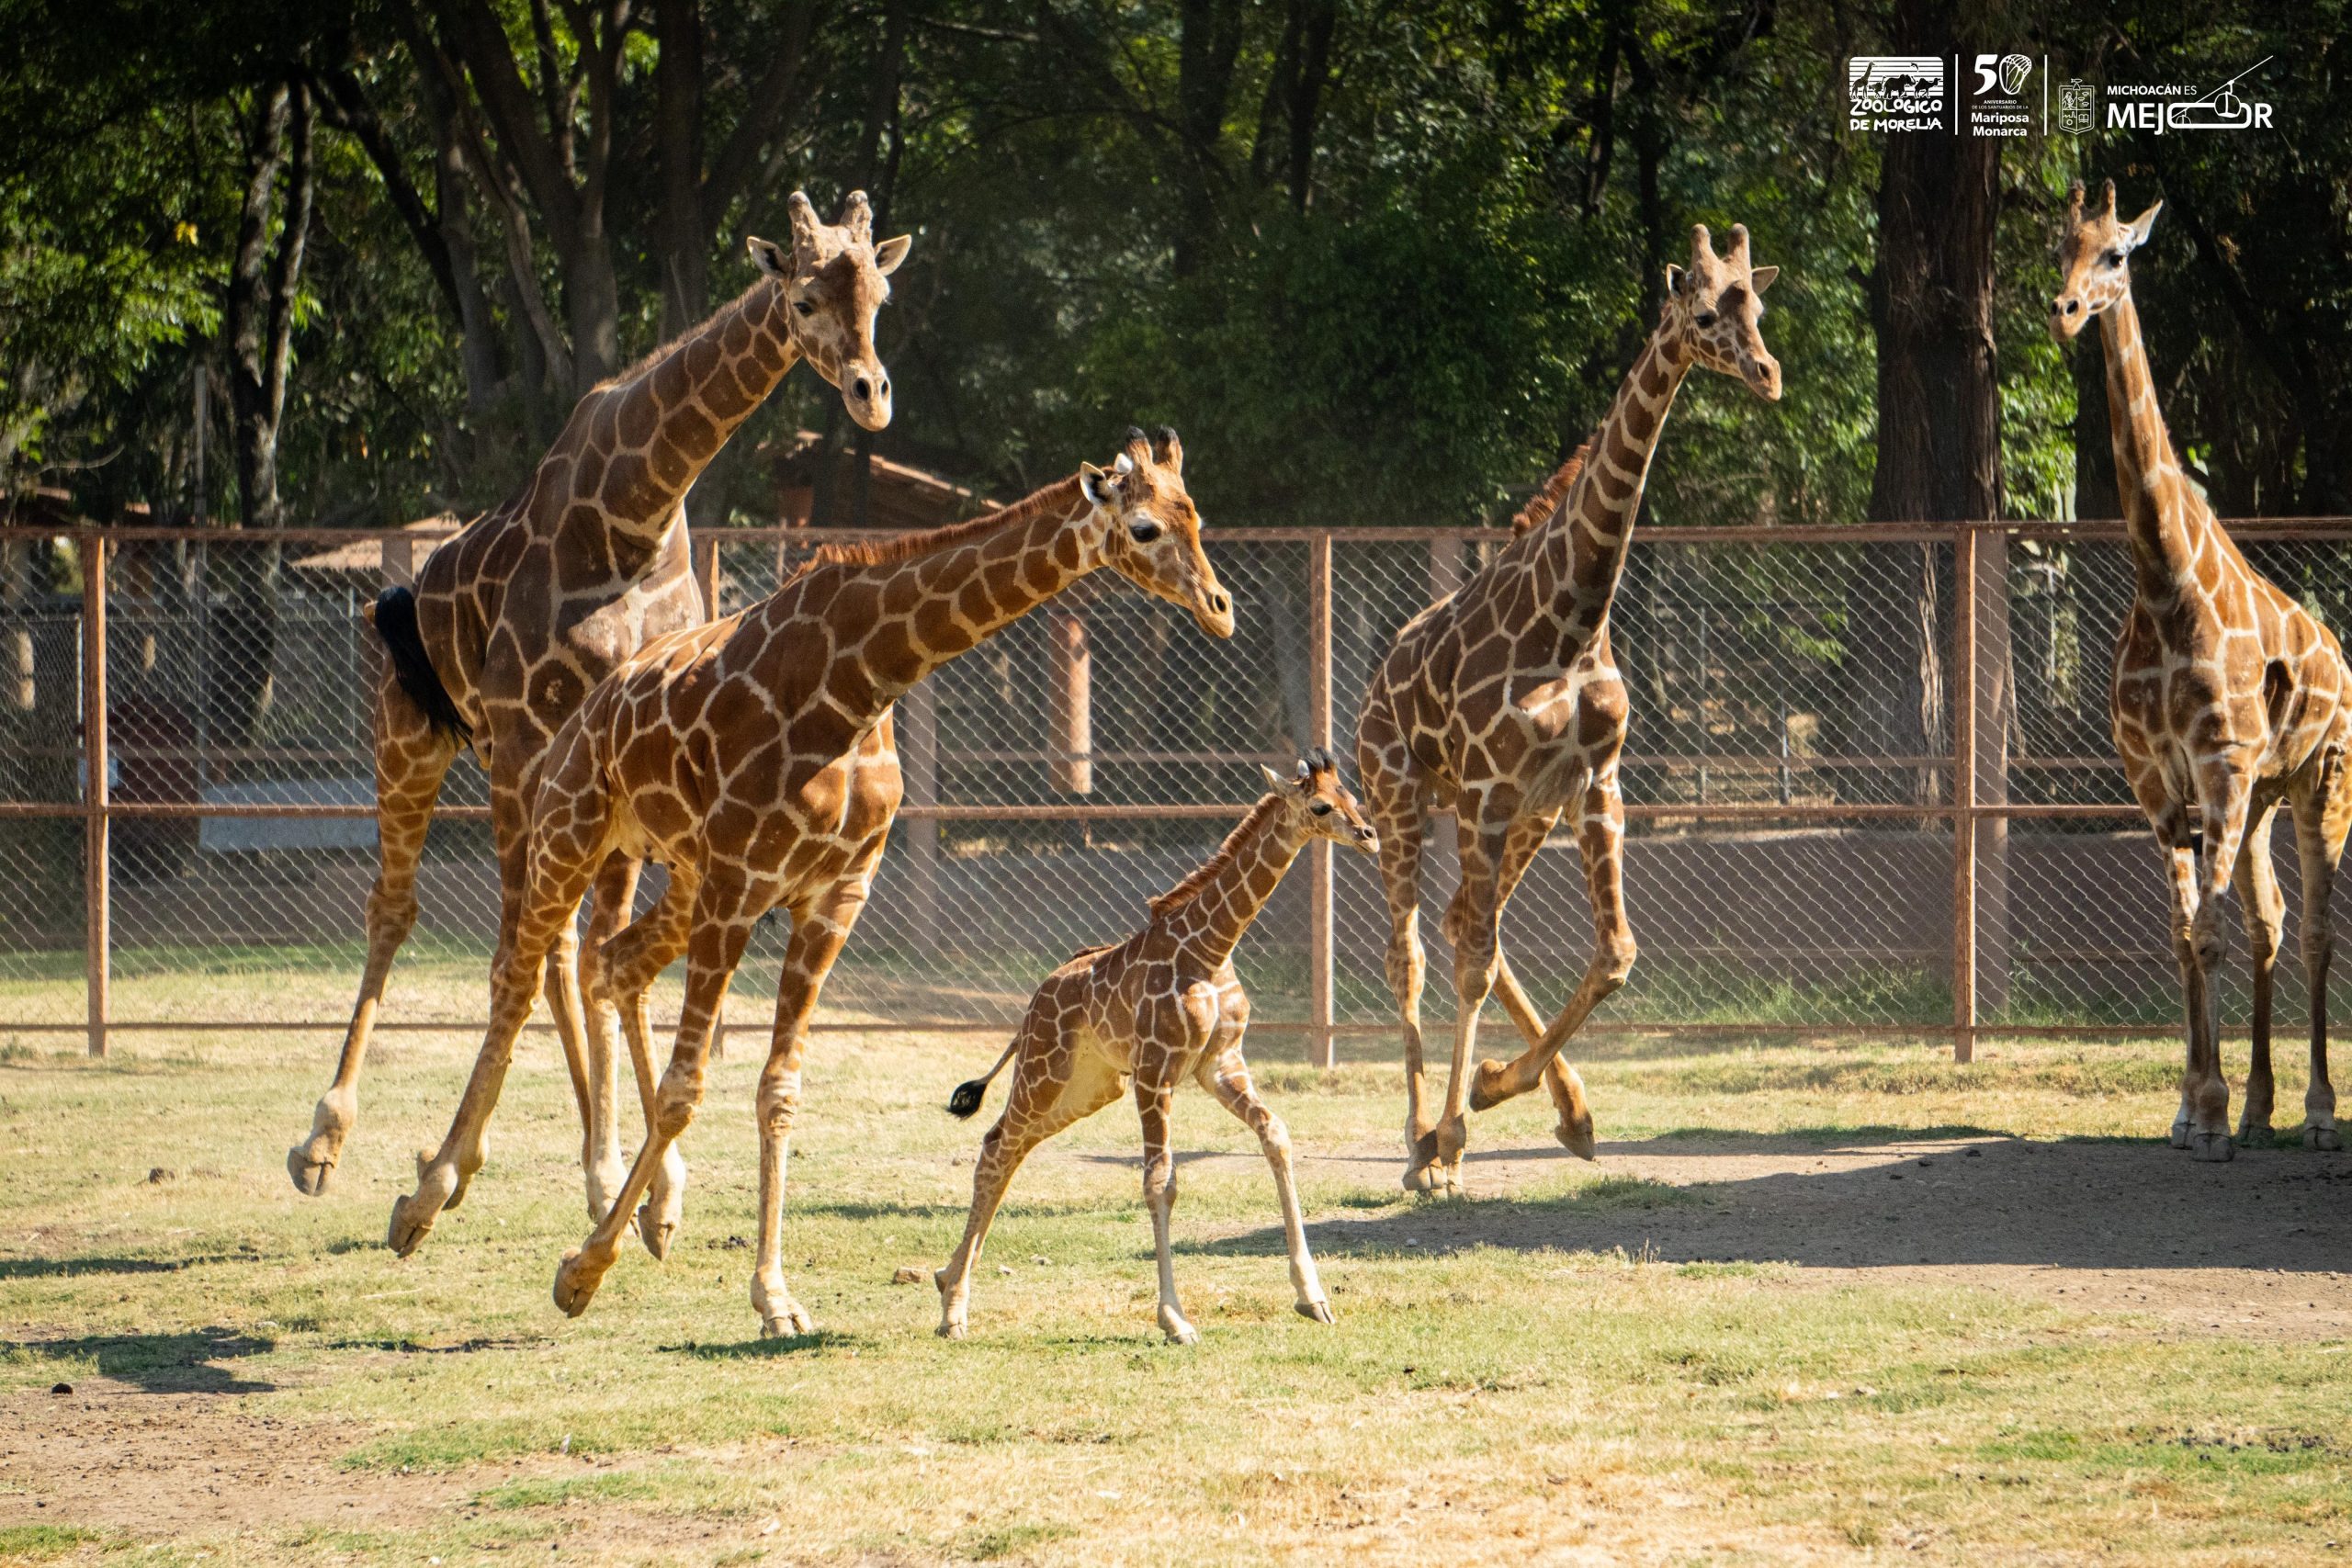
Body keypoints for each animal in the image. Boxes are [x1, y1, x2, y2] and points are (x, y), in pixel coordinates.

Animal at [287, 192, 910, 1216]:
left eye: (880, 294)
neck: (632, 510)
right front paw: (575, 1168)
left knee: (562, 942)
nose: (872, 394)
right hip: (420, 744)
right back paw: (327, 1142)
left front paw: (642, 1183)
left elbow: (601, 952)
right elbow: (537, 950)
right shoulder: (527, 742)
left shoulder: (625, 759)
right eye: (804, 295)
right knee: (407, 909)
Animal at [391, 429, 1233, 1338]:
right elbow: (688, 1088)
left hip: (680, 876)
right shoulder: (740, 883)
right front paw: (581, 1271)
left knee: (612, 963)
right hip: (574, 825)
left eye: (1197, 515)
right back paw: (424, 1200)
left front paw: (773, 1296)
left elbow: (780, 1090)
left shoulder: (832, 894)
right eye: (1146, 527)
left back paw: (656, 1208)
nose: (1219, 605)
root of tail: (594, 704)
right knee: (517, 973)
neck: (861, 678)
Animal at [933, 751, 1379, 1345]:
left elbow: (1277, 1137)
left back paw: (946, 1282)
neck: (1211, 948)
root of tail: (1034, 1000)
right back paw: (952, 1310)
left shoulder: (1219, 1064)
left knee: (1006, 1145)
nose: (1370, 836)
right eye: (1321, 806)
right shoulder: (1156, 1071)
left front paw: (1313, 1297)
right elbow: (1160, 1183)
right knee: (996, 1147)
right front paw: (1175, 1320)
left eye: (1353, 796)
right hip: (1045, 1070)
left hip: (1087, 1088)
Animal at [1356, 223, 1783, 1194]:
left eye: (1759, 307)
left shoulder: (1595, 780)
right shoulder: (1485, 790)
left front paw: (1499, 1094)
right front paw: (1449, 1137)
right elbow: (1472, 967)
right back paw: (1417, 1141)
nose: (1768, 373)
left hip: (1526, 812)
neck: (1575, 615)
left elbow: (1616, 954)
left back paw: (1542, 1110)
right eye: (1706, 312)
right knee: (1415, 950)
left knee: (1463, 923)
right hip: (1404, 796)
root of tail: (1377, 680)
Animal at [2050, 179, 2348, 1159]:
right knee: (2269, 921)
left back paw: (2317, 1113)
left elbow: (2206, 936)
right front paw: (2194, 1108)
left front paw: (2211, 1115)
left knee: (2316, 930)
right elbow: (2188, 936)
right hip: (2260, 801)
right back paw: (2262, 1108)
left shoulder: (2218, 768)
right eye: (2061, 248)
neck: (2164, 574)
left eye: (2117, 255)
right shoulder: (2159, 783)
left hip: (2317, 783)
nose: (2067, 311)